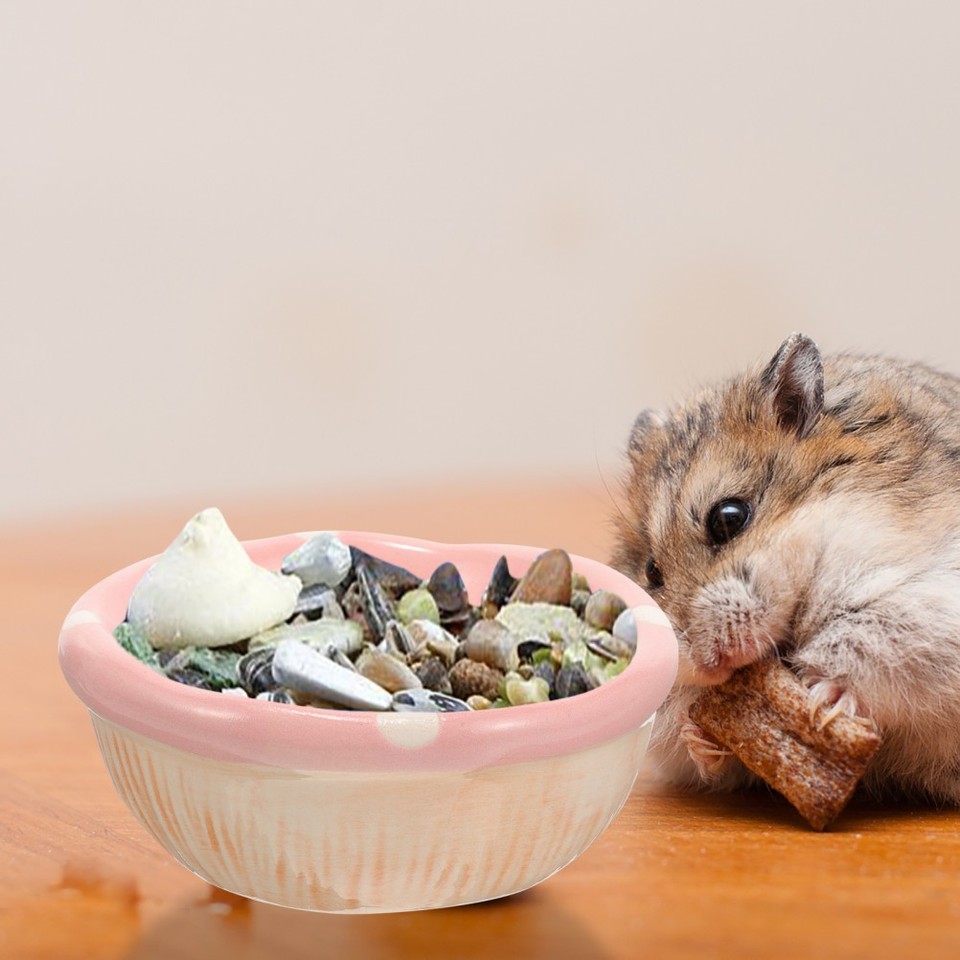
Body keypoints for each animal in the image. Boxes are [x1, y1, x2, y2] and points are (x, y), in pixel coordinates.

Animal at [611, 332, 960, 804]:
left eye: (729, 517)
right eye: (651, 571)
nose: (708, 665)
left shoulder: (921, 613)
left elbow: (859, 645)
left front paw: (822, 701)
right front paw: (698, 734)